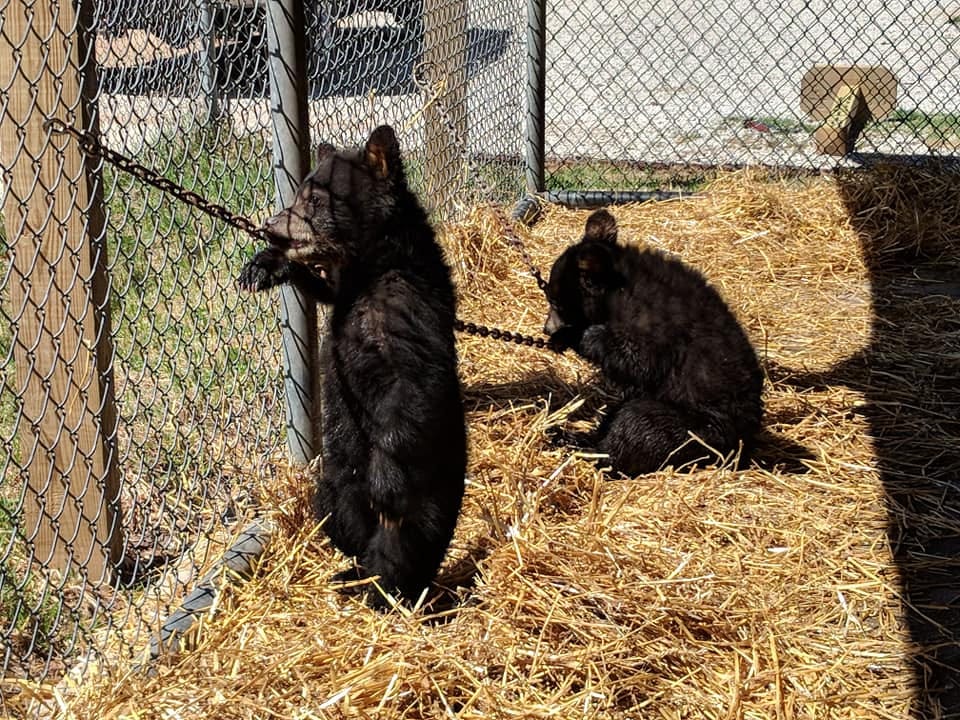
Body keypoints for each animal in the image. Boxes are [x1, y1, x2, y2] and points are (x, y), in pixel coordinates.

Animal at [238, 125, 467, 608]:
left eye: (315, 200)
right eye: (299, 193)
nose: (272, 227)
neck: (373, 267)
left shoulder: (409, 311)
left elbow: (411, 389)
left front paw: (384, 479)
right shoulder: (343, 292)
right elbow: (322, 291)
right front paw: (263, 266)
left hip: (424, 503)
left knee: (401, 543)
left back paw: (385, 590)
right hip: (333, 483)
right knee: (341, 517)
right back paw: (352, 573)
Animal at [543, 208, 764, 476]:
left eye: (555, 302)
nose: (546, 328)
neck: (615, 294)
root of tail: (744, 444)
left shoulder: (657, 328)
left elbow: (639, 361)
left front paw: (571, 336)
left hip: (701, 430)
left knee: (640, 422)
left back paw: (589, 451)